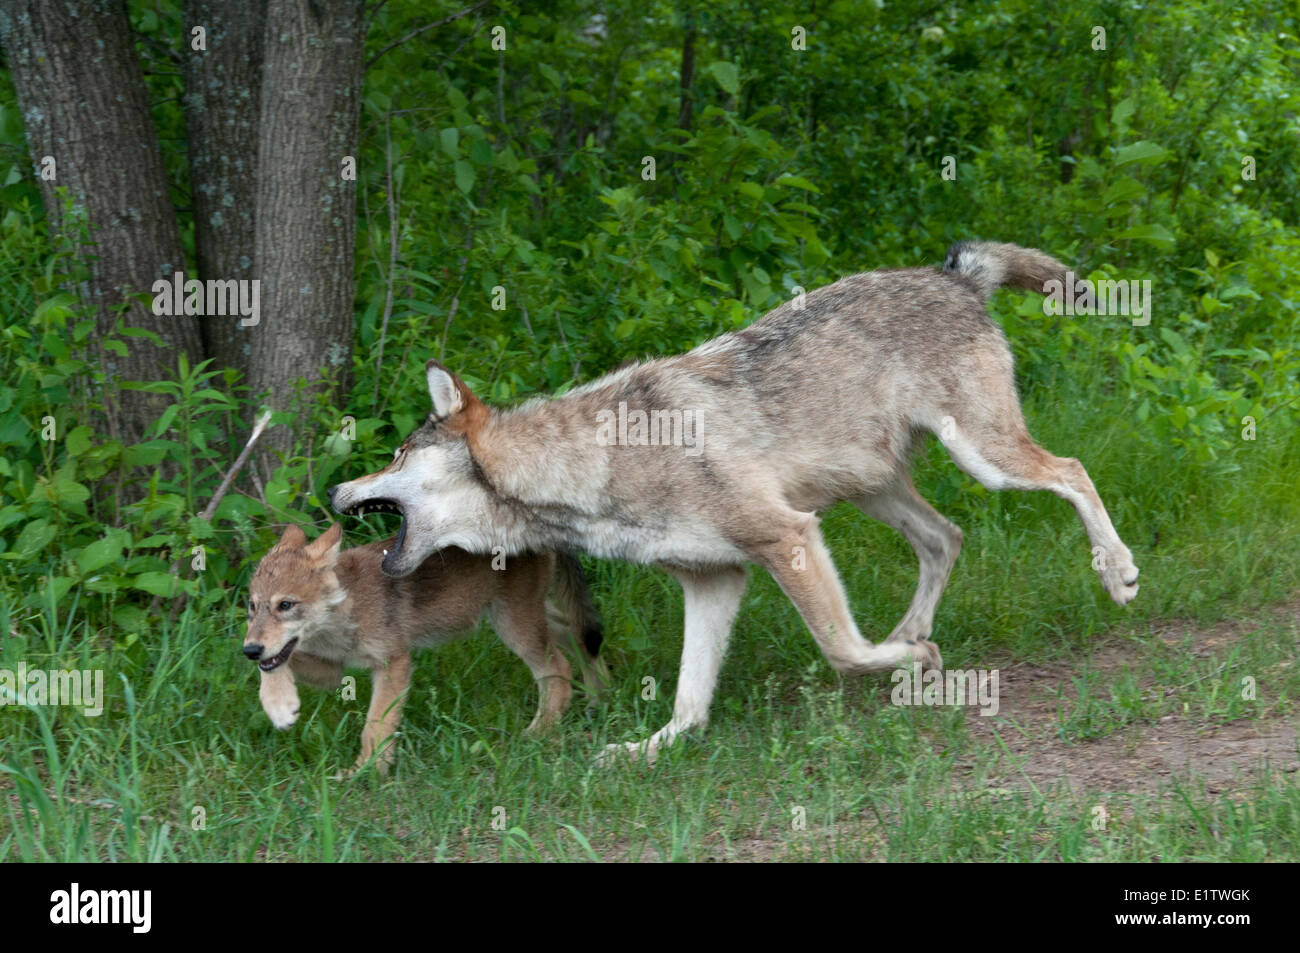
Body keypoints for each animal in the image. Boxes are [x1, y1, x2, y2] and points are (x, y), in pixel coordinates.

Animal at [243, 522, 606, 775]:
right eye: (252, 607)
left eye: (285, 605)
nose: (249, 650)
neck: (348, 607)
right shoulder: (332, 670)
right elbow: (274, 667)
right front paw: (279, 705)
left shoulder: (393, 662)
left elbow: (375, 727)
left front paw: (365, 772)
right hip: (524, 618)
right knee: (579, 636)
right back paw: (597, 697)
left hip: (514, 626)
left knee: (559, 667)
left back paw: (540, 731)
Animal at [328, 241, 1140, 763]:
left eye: (394, 455)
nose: (335, 489)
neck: (590, 467)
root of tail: (952, 276)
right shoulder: (715, 579)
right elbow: (689, 702)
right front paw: (643, 750)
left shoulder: (787, 536)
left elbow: (842, 650)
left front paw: (913, 659)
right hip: (874, 491)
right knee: (947, 537)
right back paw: (913, 632)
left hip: (985, 461)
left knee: (1072, 472)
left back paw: (1117, 571)